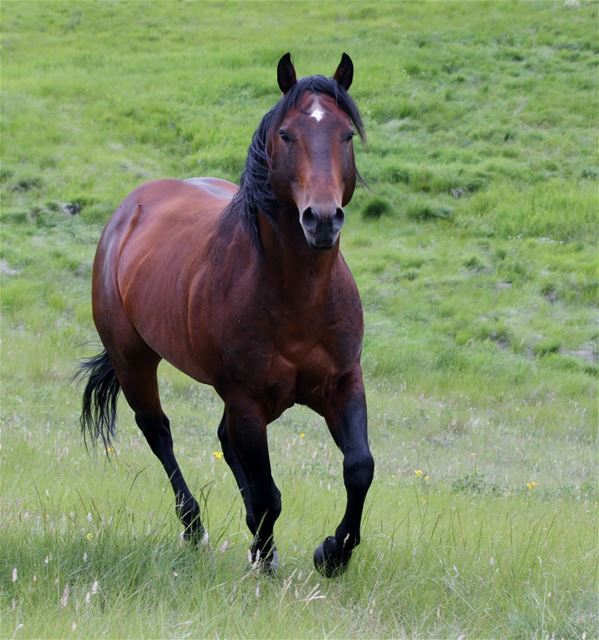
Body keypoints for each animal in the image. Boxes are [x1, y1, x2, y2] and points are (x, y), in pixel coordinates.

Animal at [80, 53, 374, 577]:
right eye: (287, 135)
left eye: (346, 135)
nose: (322, 219)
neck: (296, 297)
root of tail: (129, 210)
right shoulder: (247, 400)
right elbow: (268, 494)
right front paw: (264, 560)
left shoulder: (343, 384)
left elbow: (358, 468)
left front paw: (331, 554)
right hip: (135, 360)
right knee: (158, 432)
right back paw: (194, 526)